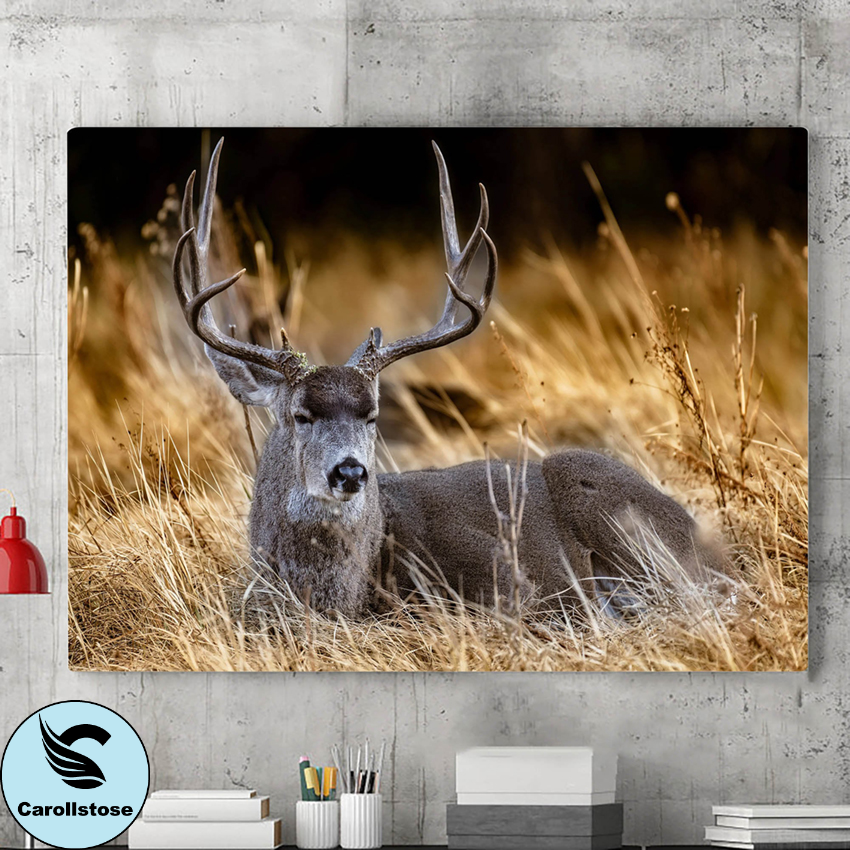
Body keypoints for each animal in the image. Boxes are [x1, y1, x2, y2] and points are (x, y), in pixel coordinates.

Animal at [172, 138, 726, 619]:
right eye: (300, 415)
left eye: (371, 415)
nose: (350, 472)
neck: (349, 593)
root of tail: (706, 540)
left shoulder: (512, 580)